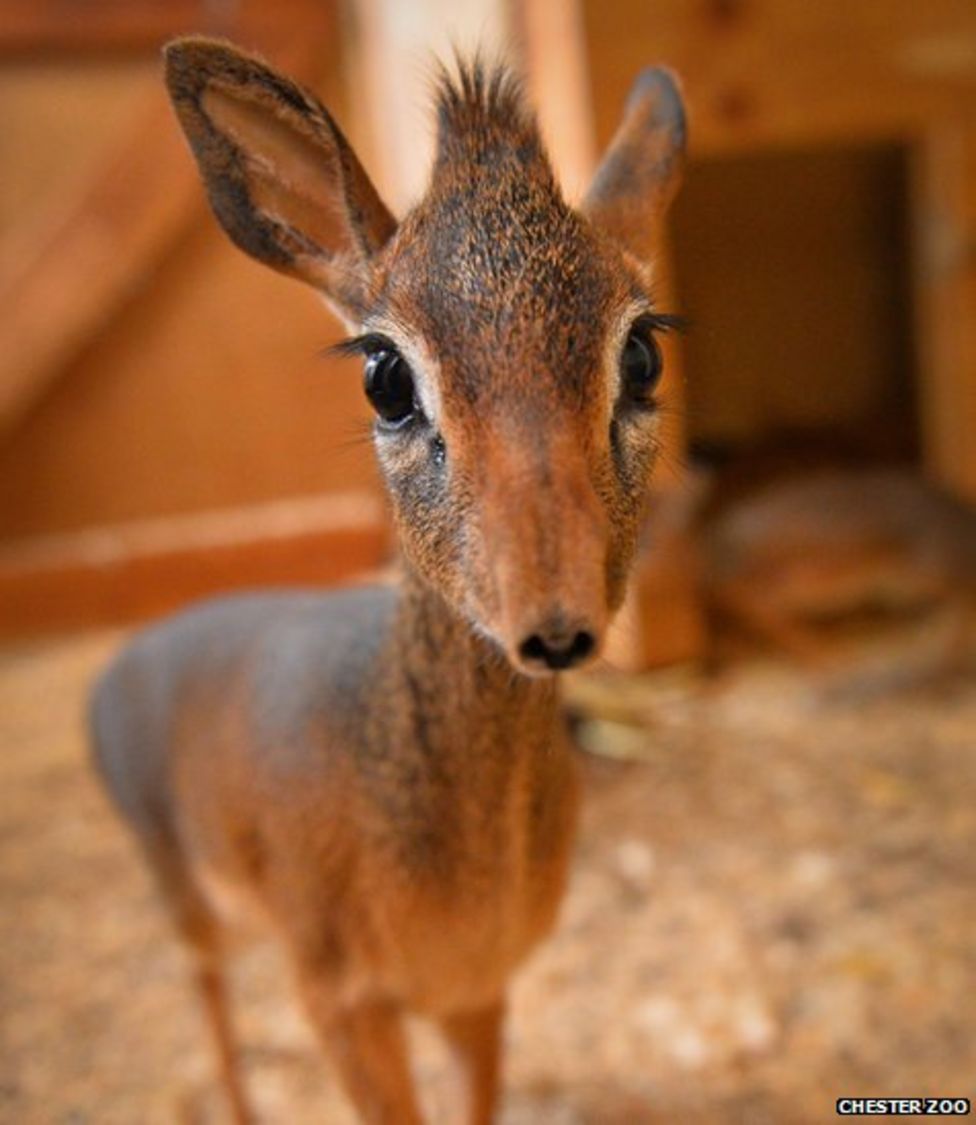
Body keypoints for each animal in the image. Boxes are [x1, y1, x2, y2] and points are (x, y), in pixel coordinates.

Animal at [90, 37, 686, 1124]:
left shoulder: (477, 989)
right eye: (384, 374)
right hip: (186, 894)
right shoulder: (342, 999)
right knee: (206, 989)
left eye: (643, 353)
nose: (555, 621)